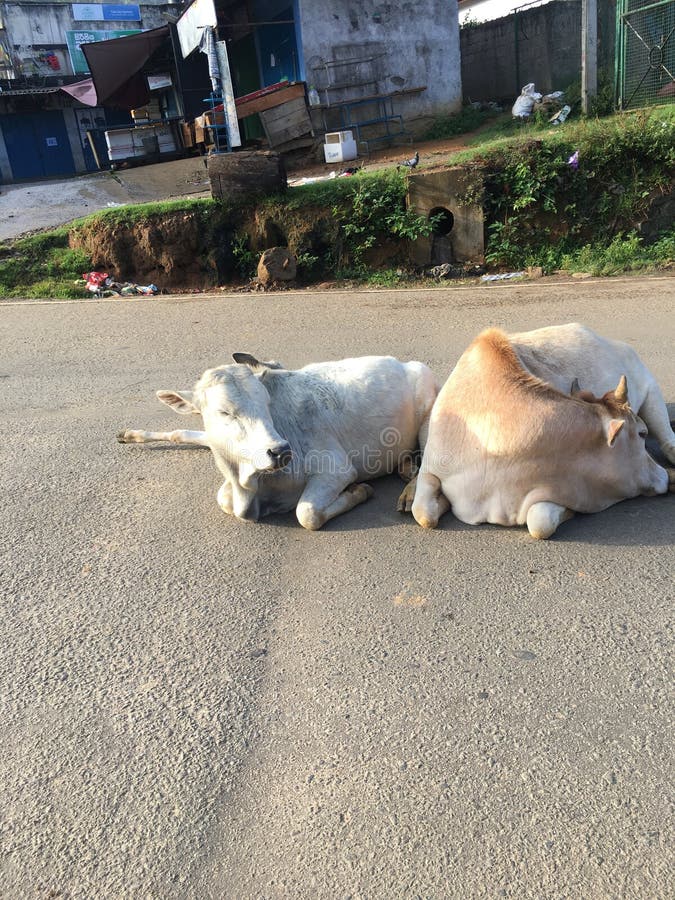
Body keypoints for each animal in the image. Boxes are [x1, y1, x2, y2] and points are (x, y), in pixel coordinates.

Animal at [118, 353, 438, 531]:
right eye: (224, 412)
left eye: (266, 402)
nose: (281, 451)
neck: (250, 486)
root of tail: (404, 363)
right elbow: (222, 497)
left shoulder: (337, 469)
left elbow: (306, 513)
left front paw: (359, 491)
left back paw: (410, 489)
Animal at [408, 328, 674, 539]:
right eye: (641, 433)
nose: (661, 476)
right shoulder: (431, 466)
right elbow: (423, 514)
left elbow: (539, 523)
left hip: (652, 391)